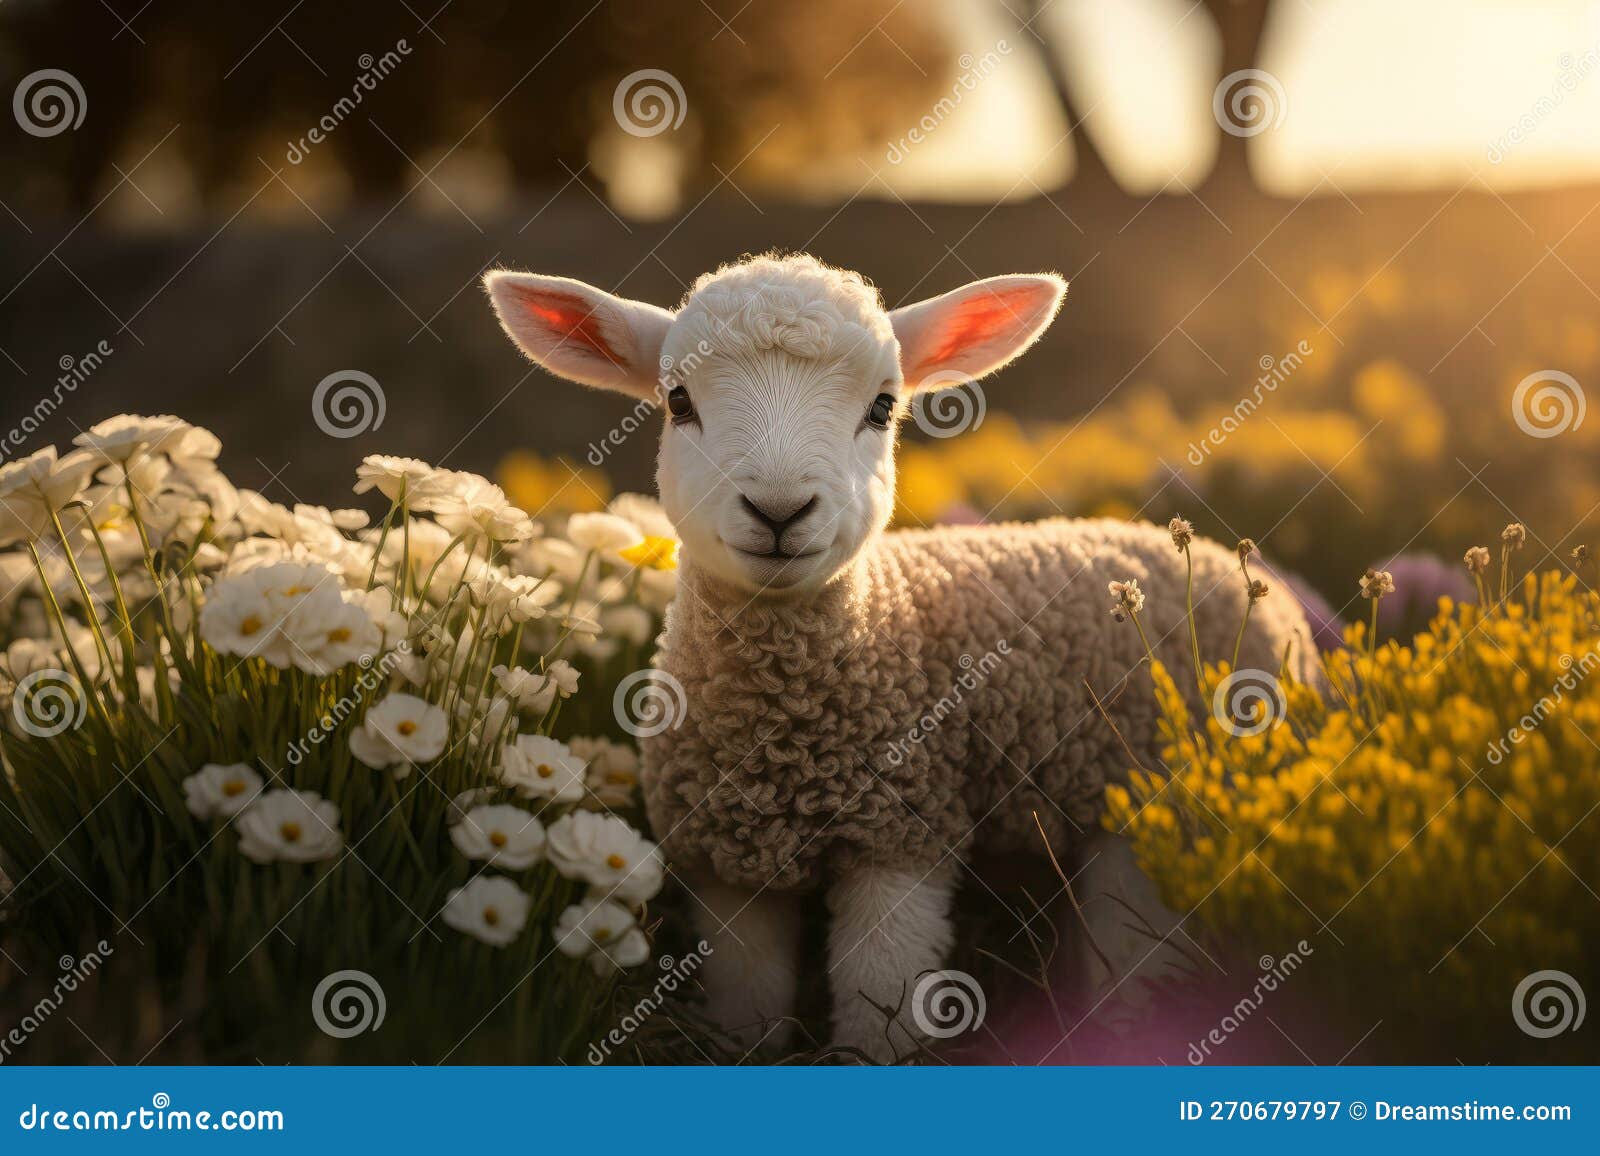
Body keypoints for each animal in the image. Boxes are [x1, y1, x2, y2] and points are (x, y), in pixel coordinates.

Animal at [484, 253, 1320, 1061]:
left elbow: (881, 1014)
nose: (780, 512)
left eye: (883, 407)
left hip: (1153, 803)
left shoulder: (903, 832)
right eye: (679, 402)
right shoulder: (729, 864)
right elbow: (745, 1013)